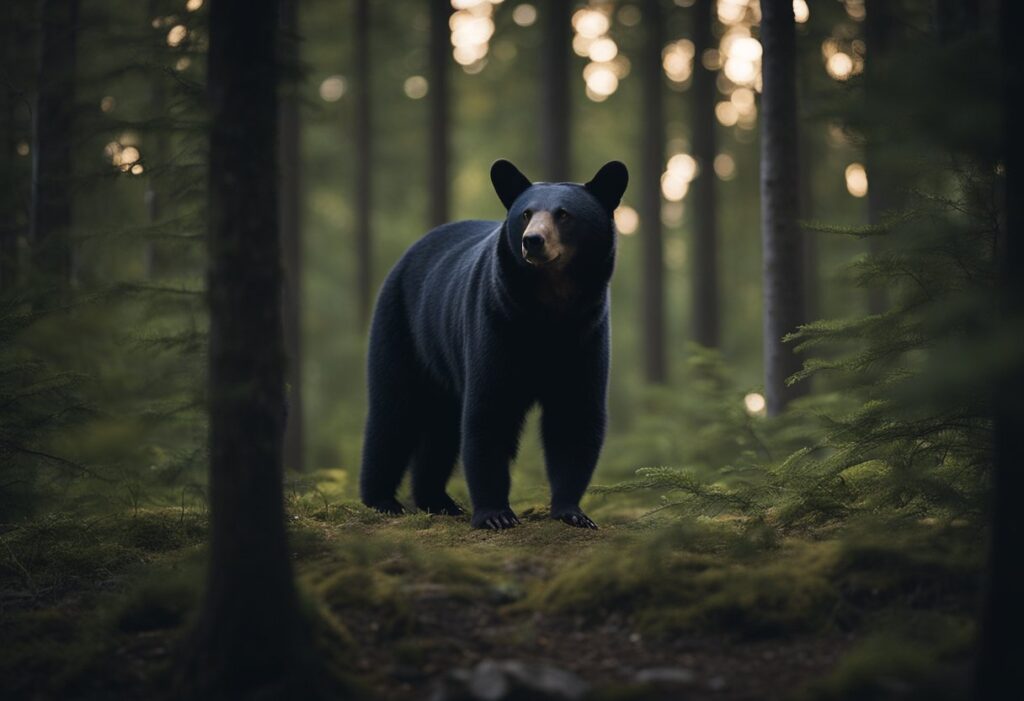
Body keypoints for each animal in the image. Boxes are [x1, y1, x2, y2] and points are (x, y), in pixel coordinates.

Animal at [359, 159, 628, 529]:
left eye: (564, 214)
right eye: (526, 213)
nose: (533, 241)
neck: (550, 312)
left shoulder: (585, 335)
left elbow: (574, 415)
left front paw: (572, 511)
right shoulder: (497, 324)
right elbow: (490, 411)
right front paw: (495, 513)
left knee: (440, 427)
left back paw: (437, 499)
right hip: (402, 328)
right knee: (393, 412)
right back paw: (382, 500)